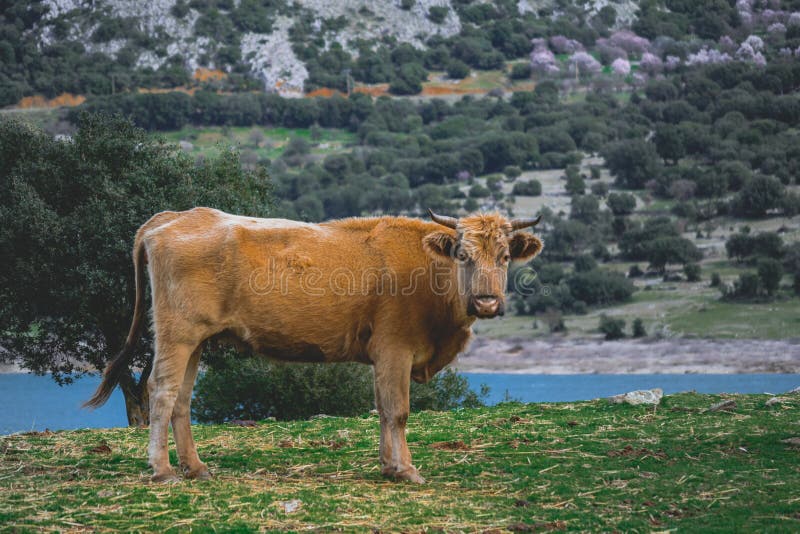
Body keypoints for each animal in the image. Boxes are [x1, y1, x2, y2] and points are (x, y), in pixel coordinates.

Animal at [85, 207, 543, 483]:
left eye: (504, 256)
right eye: (463, 255)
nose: (486, 302)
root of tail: (177, 216)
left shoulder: (382, 356)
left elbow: (382, 411)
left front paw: (387, 466)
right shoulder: (395, 349)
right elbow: (398, 411)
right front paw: (406, 469)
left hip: (195, 339)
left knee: (181, 397)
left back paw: (196, 467)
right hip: (176, 333)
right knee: (161, 391)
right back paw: (163, 470)